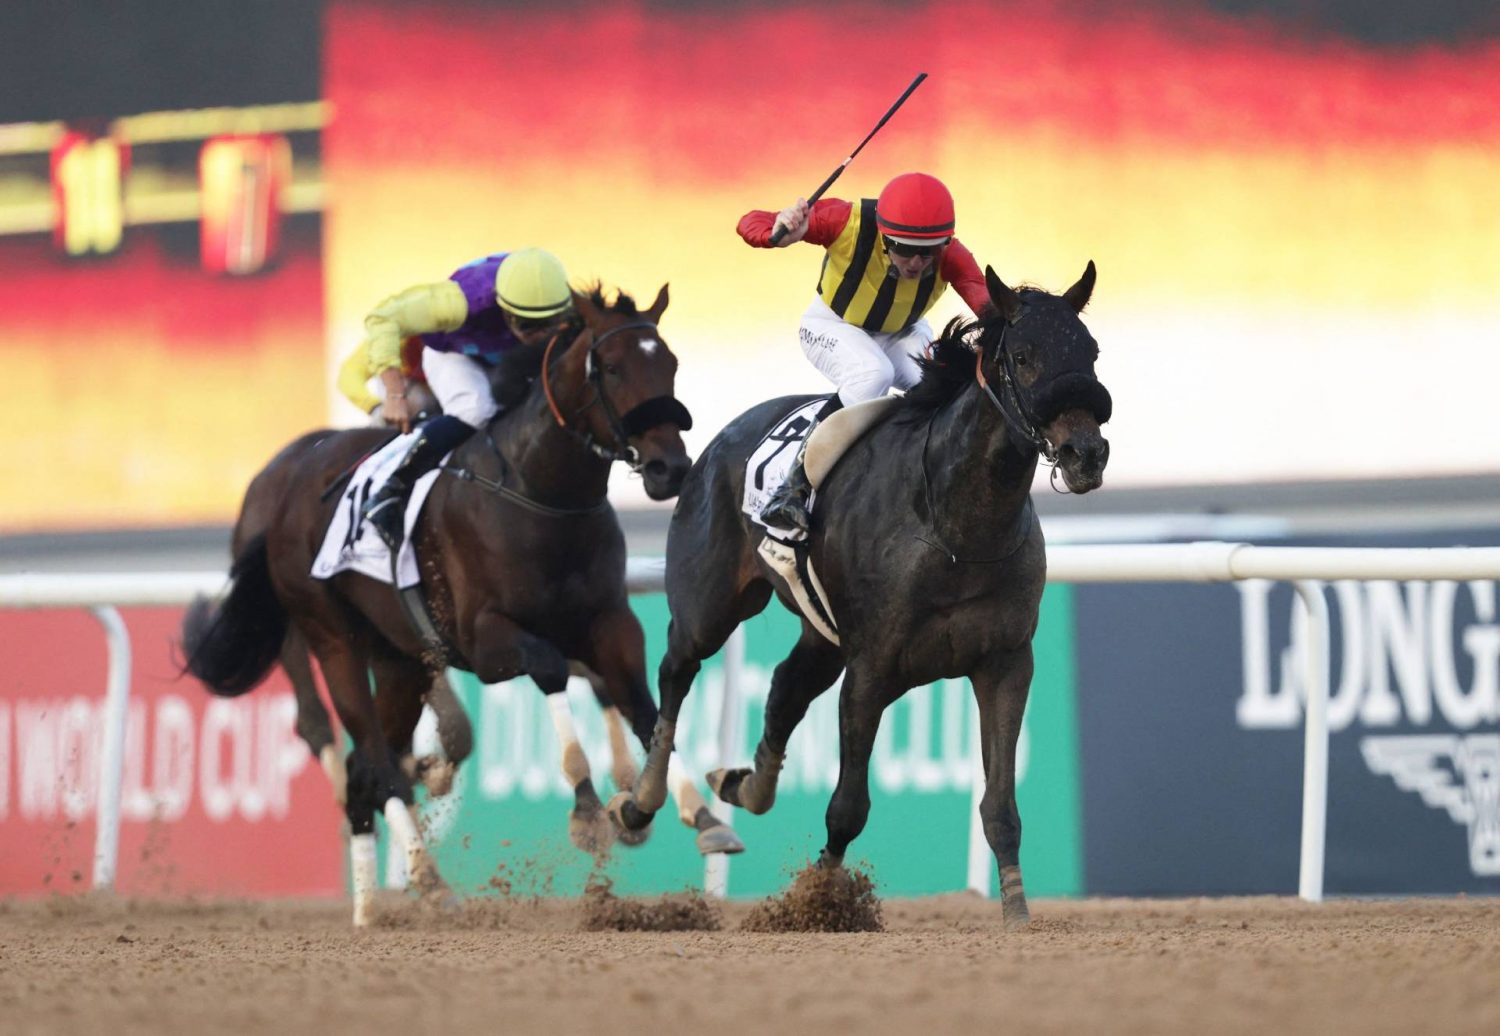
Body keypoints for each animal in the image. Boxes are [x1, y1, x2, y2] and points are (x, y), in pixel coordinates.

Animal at [182, 285, 743, 926]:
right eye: (613, 368)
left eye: (669, 363)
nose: (669, 468)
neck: (540, 495)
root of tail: (283, 487)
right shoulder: (485, 640)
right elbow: (550, 669)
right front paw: (586, 808)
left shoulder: (611, 625)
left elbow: (644, 706)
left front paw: (692, 814)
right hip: (331, 640)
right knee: (372, 759)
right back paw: (427, 880)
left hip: (399, 661)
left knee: (366, 767)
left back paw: (371, 905)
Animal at [609, 263, 1111, 929]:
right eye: (1025, 356)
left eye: (1091, 350)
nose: (1087, 454)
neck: (955, 525)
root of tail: (719, 441)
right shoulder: (870, 667)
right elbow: (847, 807)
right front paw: (819, 903)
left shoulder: (1005, 661)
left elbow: (1001, 807)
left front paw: (1018, 914)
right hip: (708, 606)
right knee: (675, 672)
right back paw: (643, 801)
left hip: (821, 634)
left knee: (785, 687)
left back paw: (744, 785)